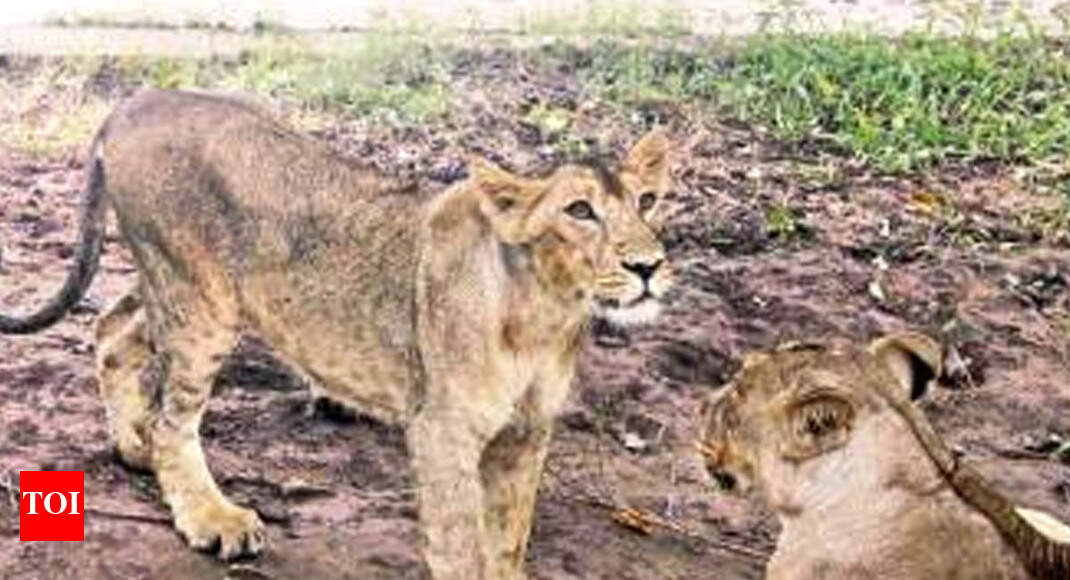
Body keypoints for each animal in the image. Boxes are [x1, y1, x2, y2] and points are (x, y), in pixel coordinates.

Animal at [1, 89, 675, 579]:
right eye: (580, 211)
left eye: (648, 201)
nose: (649, 266)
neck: (545, 311)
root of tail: (136, 100)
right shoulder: (443, 428)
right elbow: (462, 543)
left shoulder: (527, 433)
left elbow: (508, 538)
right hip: (200, 303)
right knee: (174, 420)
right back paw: (211, 516)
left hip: (186, 289)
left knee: (112, 328)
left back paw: (131, 446)